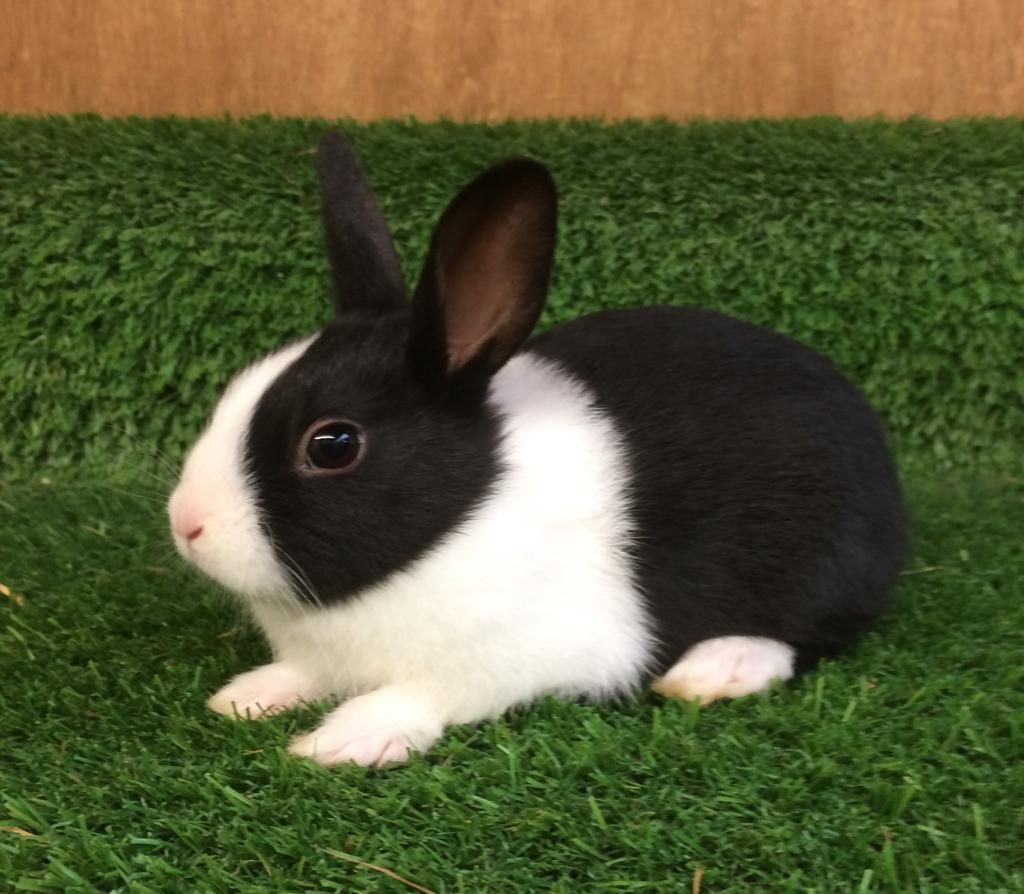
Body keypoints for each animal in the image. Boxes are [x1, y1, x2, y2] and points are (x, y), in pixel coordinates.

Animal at [168, 131, 908, 767]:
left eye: (333, 444)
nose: (186, 524)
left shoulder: (531, 654)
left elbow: (425, 694)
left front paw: (347, 740)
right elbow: (300, 673)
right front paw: (247, 696)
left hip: (824, 564)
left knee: (808, 637)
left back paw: (714, 669)